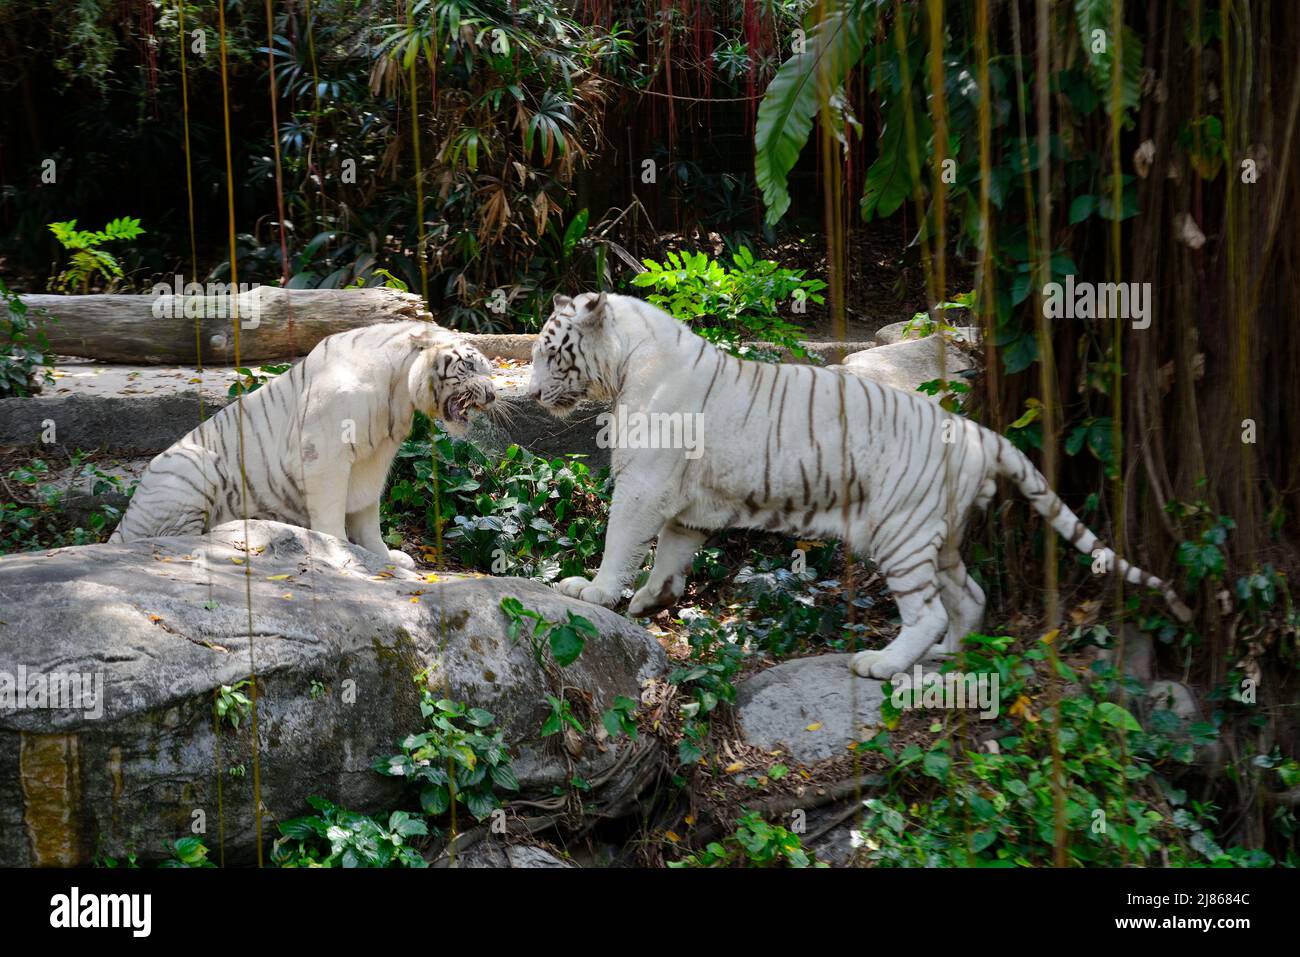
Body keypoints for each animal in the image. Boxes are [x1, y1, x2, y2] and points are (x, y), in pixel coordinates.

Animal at [109, 321, 496, 568]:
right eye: (469, 365)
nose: (493, 395)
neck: (398, 391)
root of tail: (125, 519)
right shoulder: (324, 455)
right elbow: (331, 513)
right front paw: (342, 554)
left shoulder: (374, 459)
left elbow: (367, 514)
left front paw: (384, 559)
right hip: (192, 463)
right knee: (168, 537)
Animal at [526, 292, 1192, 679]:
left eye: (549, 352)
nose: (529, 395)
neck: (623, 364)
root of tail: (977, 431)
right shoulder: (687, 505)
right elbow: (670, 554)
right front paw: (649, 601)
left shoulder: (644, 483)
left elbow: (621, 541)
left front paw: (595, 593)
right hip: (939, 533)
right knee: (969, 595)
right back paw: (946, 654)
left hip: (900, 530)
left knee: (927, 610)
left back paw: (883, 662)